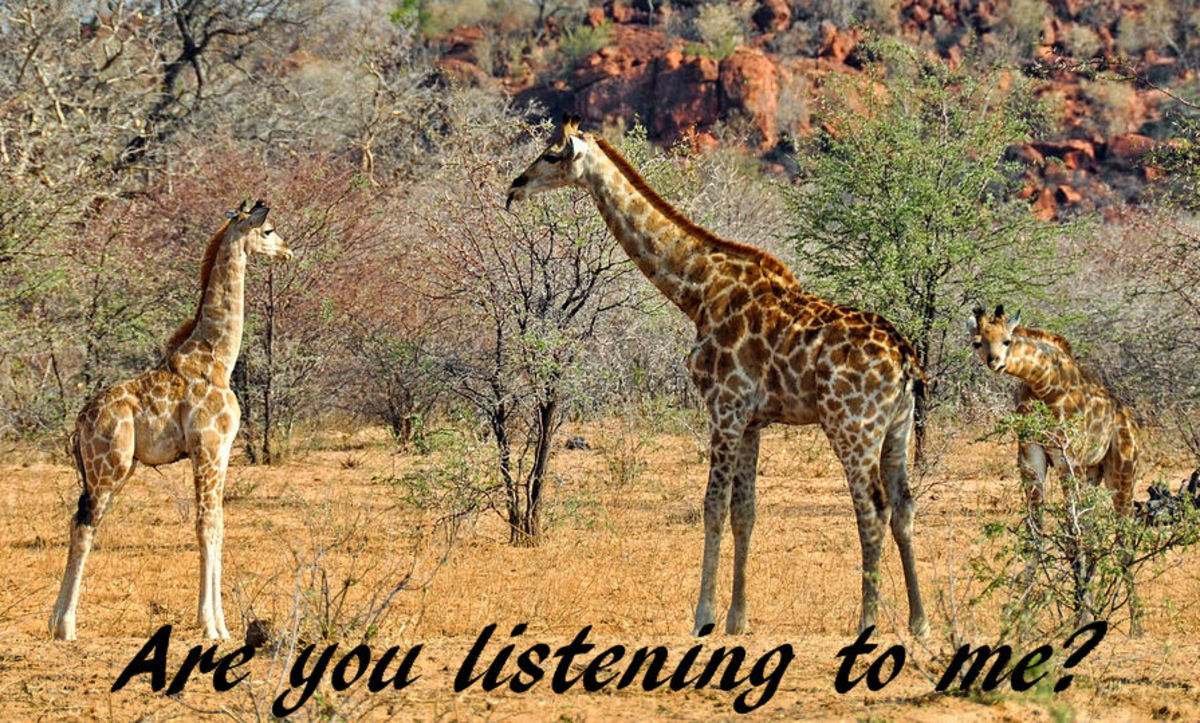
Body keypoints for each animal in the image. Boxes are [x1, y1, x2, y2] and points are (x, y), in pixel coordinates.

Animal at [49, 200, 291, 641]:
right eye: (267, 231)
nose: (287, 250)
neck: (218, 359)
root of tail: (79, 422)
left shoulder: (222, 453)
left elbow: (219, 525)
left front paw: (218, 622)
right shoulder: (207, 447)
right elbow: (206, 525)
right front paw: (212, 625)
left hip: (110, 470)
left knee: (78, 520)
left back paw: (55, 621)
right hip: (109, 467)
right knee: (86, 526)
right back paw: (66, 626)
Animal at [508, 116, 928, 637]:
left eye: (551, 154)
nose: (515, 186)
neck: (698, 290)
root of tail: (906, 358)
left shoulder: (723, 407)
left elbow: (712, 507)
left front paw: (703, 616)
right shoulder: (751, 420)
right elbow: (744, 511)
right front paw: (737, 619)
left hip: (853, 426)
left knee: (872, 506)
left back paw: (867, 621)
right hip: (898, 427)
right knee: (904, 505)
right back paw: (919, 621)